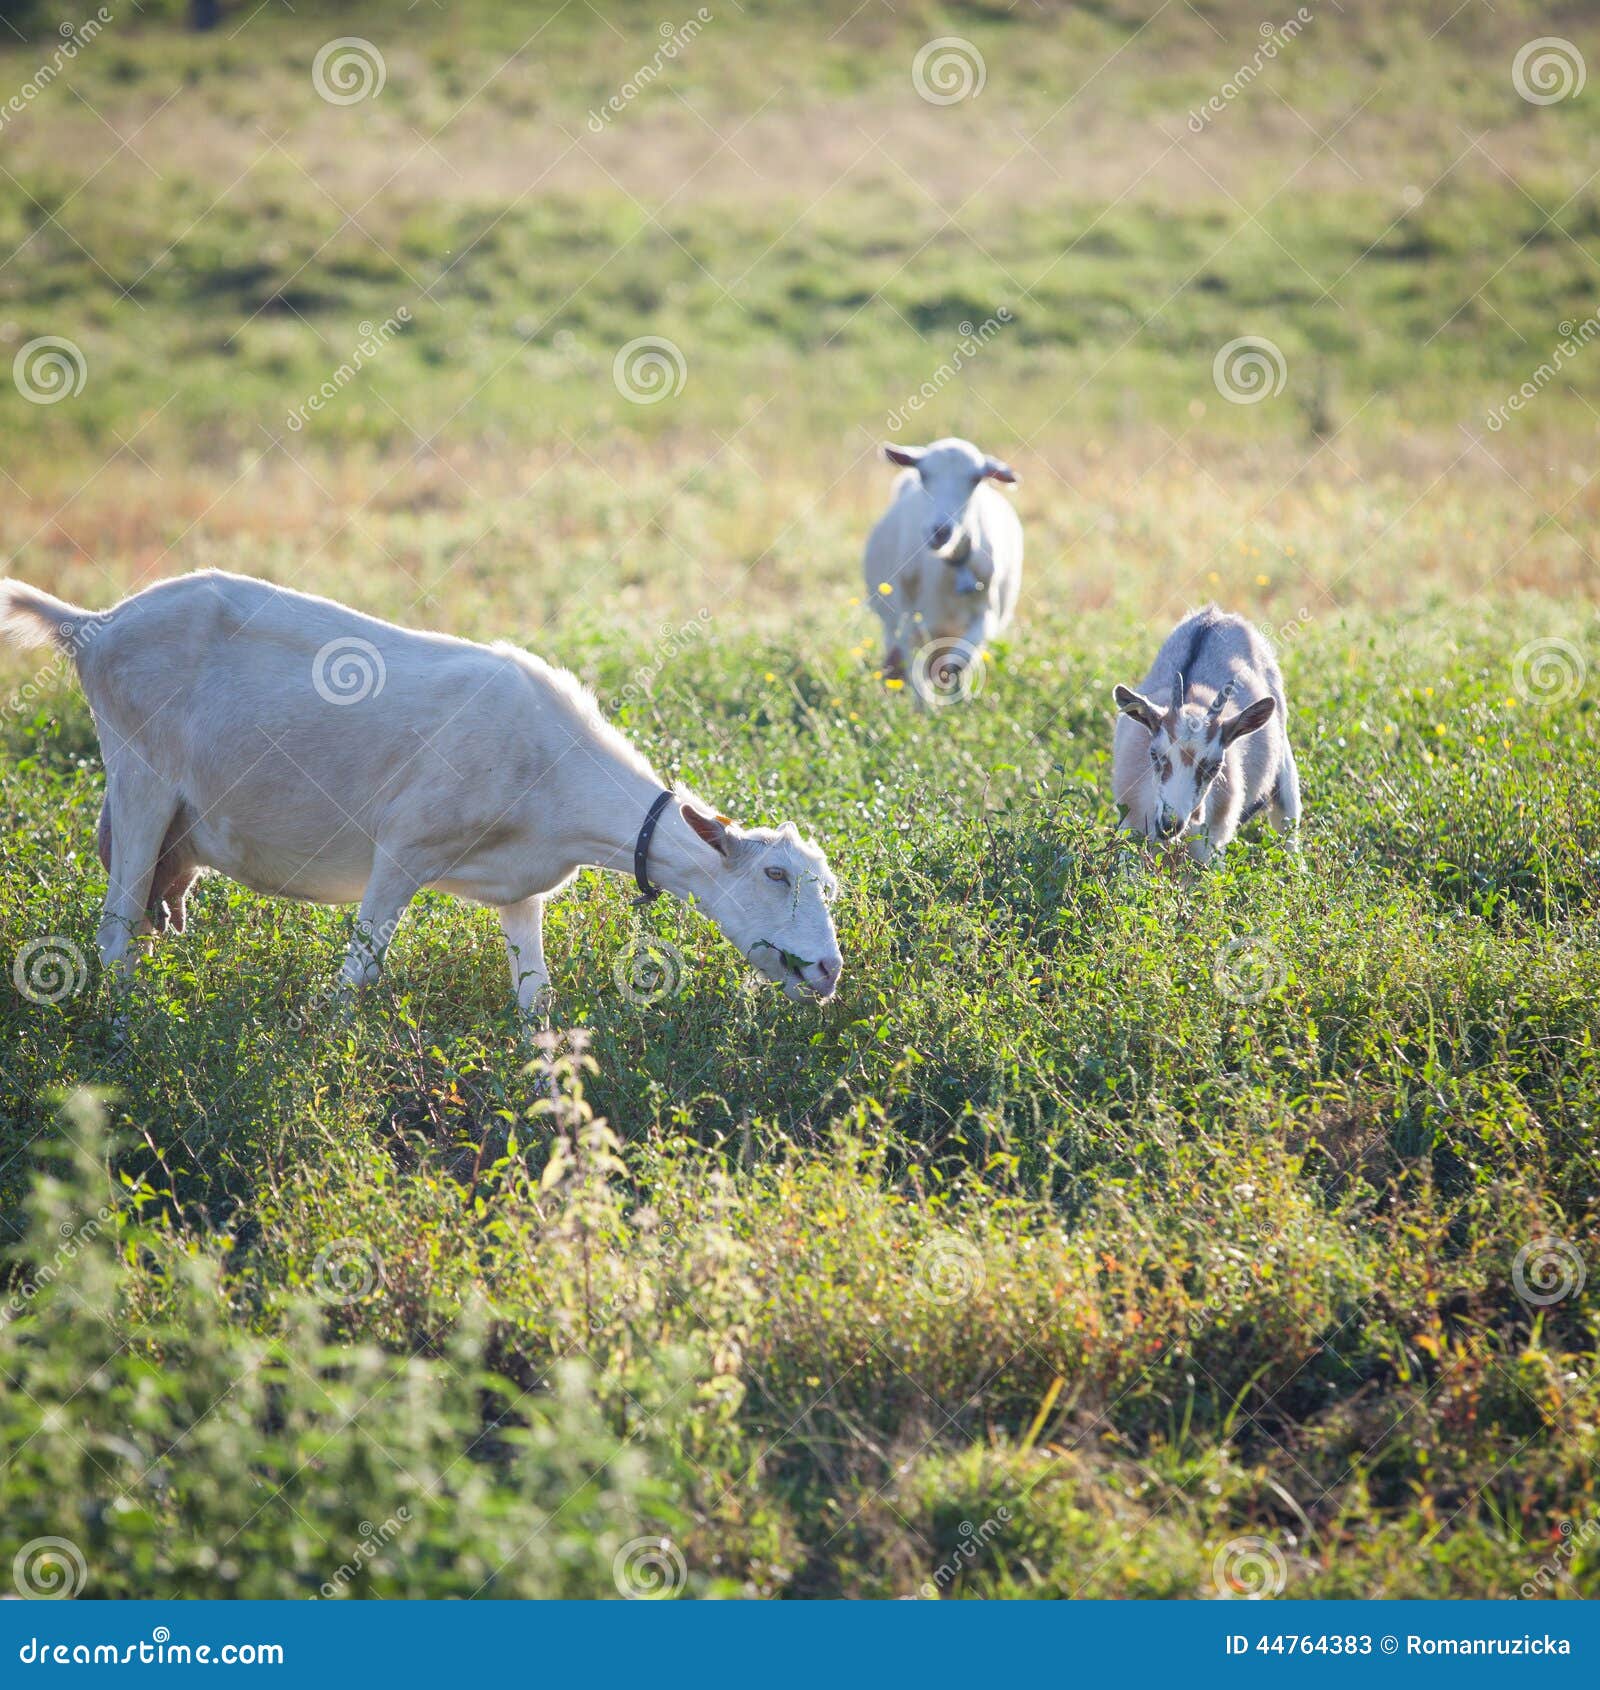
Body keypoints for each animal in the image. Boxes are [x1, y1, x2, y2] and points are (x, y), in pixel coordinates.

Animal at [0, 570, 843, 1011]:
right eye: (775, 874)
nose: (830, 971)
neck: (556, 777)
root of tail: (92, 625)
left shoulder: (520, 891)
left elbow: (537, 1000)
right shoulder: (403, 849)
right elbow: (359, 973)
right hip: (139, 778)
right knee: (114, 930)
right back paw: (127, 1027)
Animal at [863, 437, 1021, 703]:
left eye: (975, 479)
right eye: (924, 473)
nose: (940, 531)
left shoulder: (987, 614)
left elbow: (962, 659)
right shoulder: (910, 622)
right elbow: (918, 675)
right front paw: (923, 710)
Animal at [1111, 606, 1301, 864]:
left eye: (1215, 765)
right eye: (1154, 754)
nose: (1169, 824)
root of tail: (1216, 616)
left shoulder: (1209, 852)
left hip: (1285, 785)